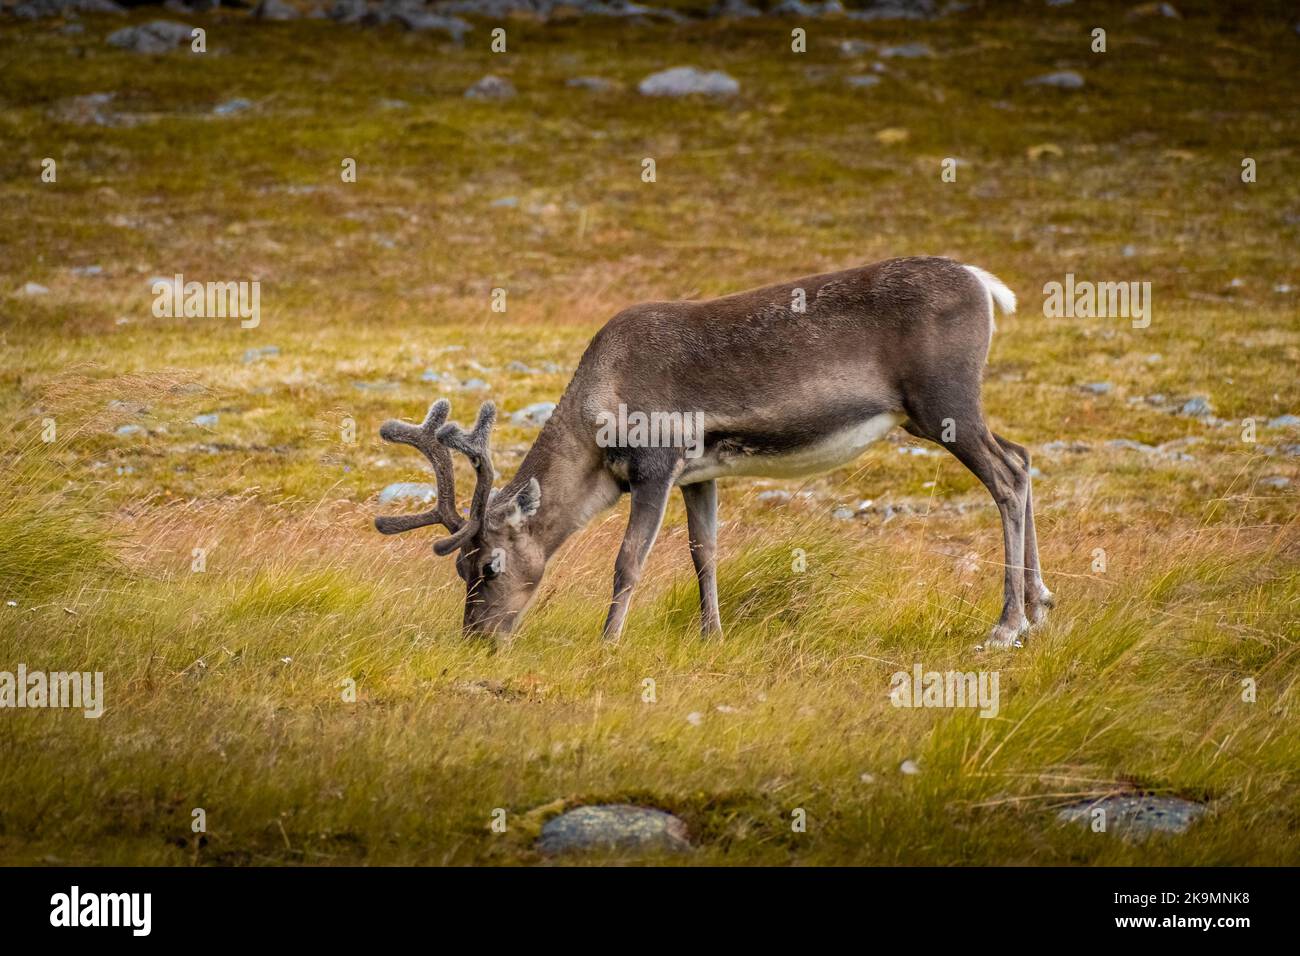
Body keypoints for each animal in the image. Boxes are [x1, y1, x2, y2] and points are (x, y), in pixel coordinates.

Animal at [374, 256, 1054, 648]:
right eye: (459, 569)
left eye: (489, 564)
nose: (477, 639)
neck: (601, 409)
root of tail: (984, 284)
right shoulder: (700, 474)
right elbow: (705, 555)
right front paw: (712, 635)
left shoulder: (656, 465)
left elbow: (628, 560)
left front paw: (608, 642)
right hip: (931, 417)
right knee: (1021, 457)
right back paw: (1041, 606)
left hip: (944, 403)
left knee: (1005, 476)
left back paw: (1007, 624)